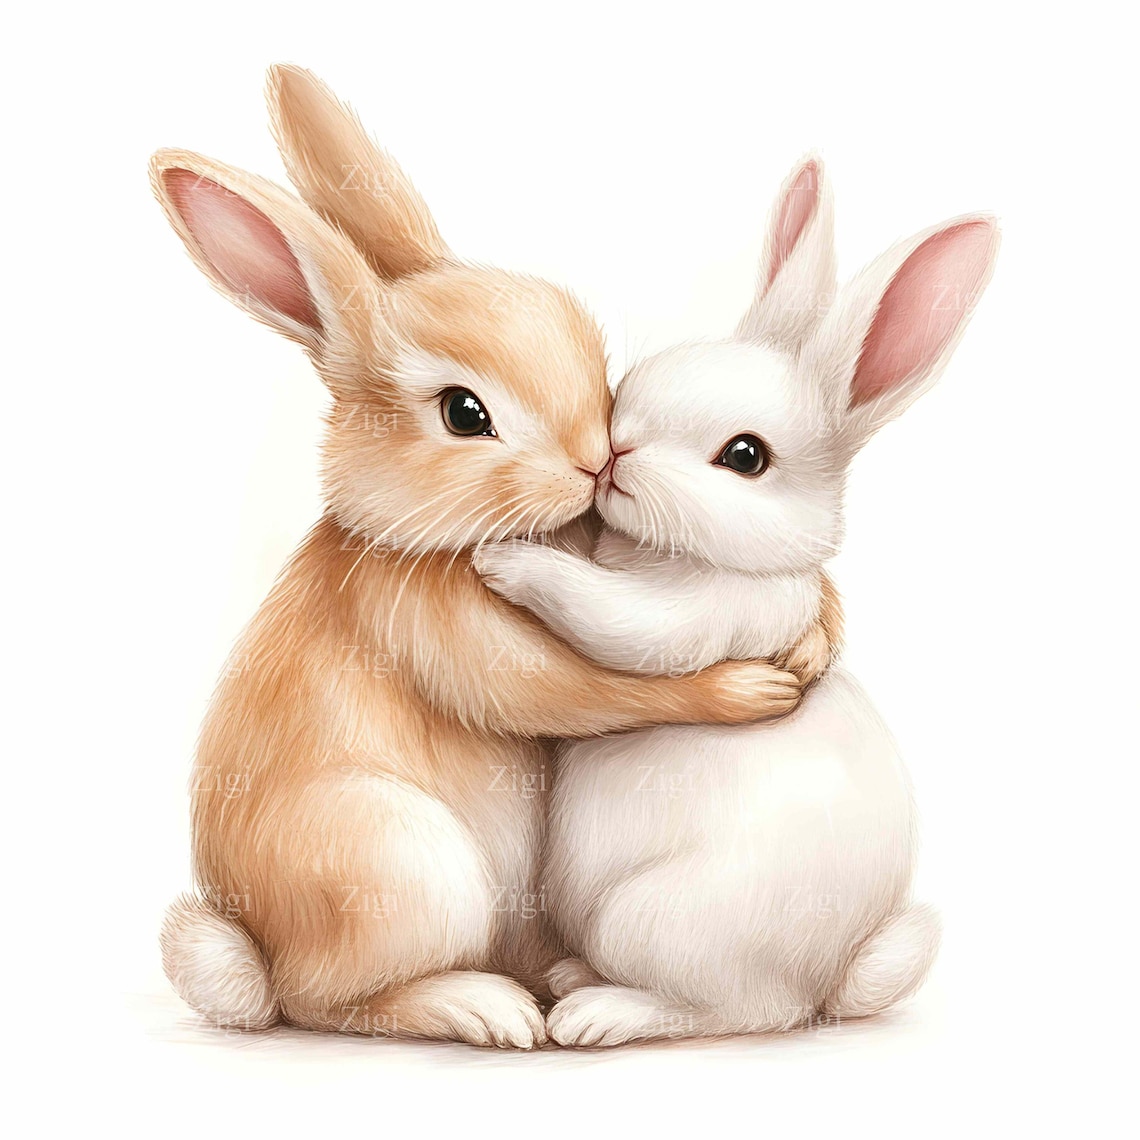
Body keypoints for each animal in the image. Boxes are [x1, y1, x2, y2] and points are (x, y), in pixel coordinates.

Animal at [154, 65, 818, 1048]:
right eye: (465, 414)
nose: (592, 460)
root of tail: (256, 956)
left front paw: (813, 644)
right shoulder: (440, 624)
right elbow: (572, 690)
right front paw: (752, 692)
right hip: (404, 865)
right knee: (326, 1001)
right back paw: (486, 1007)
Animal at [474, 156, 1000, 1046]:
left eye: (746, 457)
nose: (618, 450)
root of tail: (832, 978)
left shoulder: (710, 614)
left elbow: (610, 616)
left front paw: (506, 560)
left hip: (649, 920)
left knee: (742, 1011)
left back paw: (594, 1013)